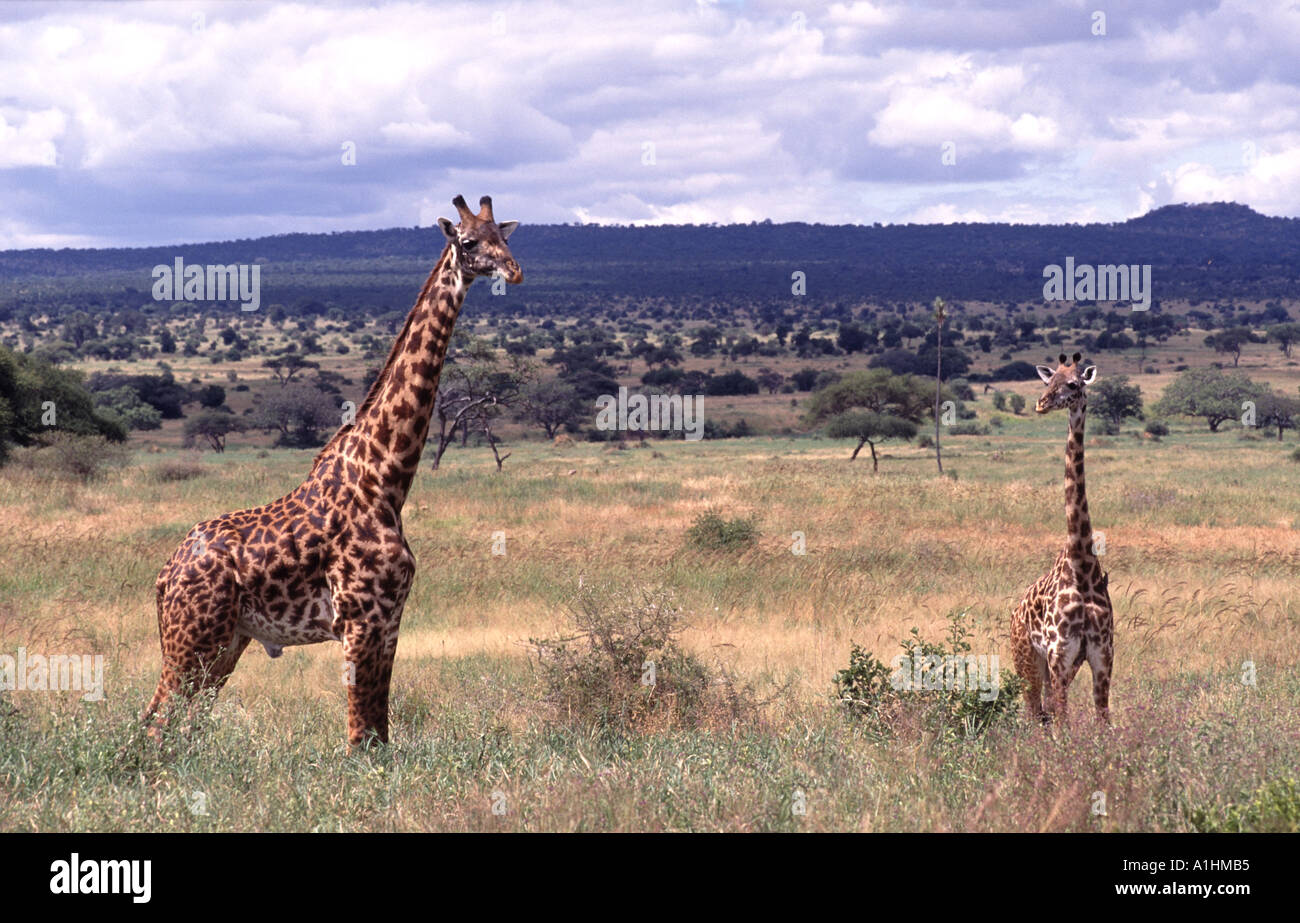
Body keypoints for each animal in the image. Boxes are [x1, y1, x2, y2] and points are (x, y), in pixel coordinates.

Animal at [143, 195, 521, 750]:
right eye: (469, 242)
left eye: (506, 237)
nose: (514, 271)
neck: (385, 478)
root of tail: (165, 574)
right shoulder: (362, 620)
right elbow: (360, 739)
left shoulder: (389, 621)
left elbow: (380, 733)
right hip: (193, 639)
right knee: (157, 724)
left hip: (224, 643)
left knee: (168, 726)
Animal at [1010, 352, 1114, 726]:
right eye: (1047, 381)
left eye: (1072, 384)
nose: (1040, 404)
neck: (1081, 563)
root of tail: (1014, 612)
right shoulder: (1059, 653)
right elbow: (1062, 723)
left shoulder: (1101, 655)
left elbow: (1103, 720)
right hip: (1026, 659)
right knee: (1034, 713)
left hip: (1059, 667)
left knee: (1044, 713)